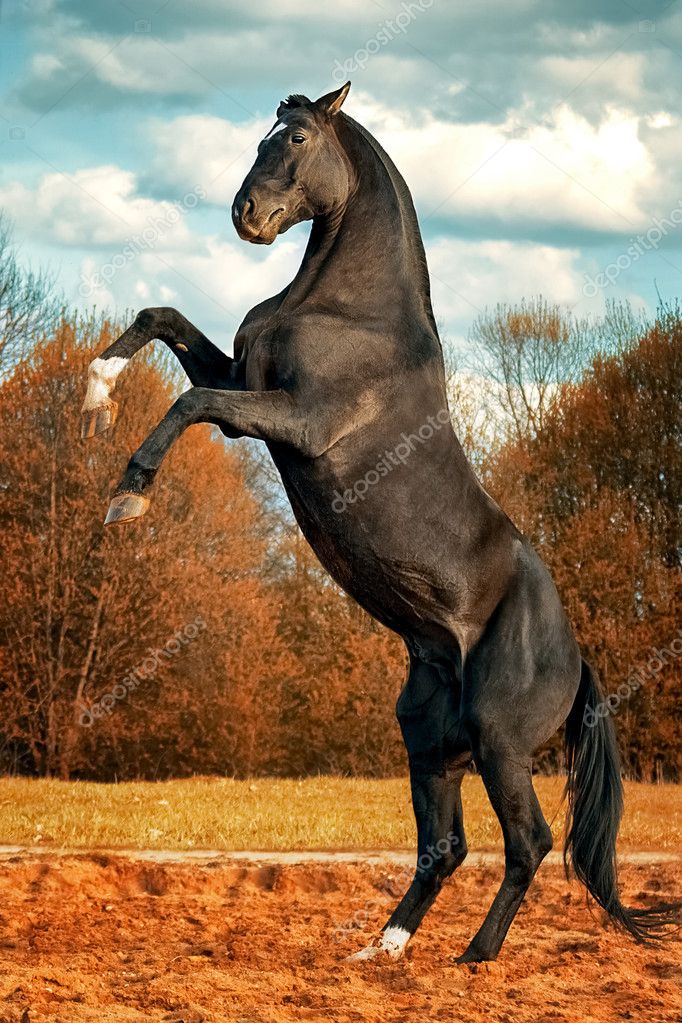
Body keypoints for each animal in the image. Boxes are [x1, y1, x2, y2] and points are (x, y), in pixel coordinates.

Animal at [81, 82, 675, 962]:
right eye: (262, 136)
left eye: (294, 137)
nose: (247, 214)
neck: (349, 310)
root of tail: (578, 662)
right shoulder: (246, 379)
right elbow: (165, 319)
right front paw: (96, 383)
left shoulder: (289, 417)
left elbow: (192, 399)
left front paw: (130, 493)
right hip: (430, 739)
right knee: (446, 845)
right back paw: (383, 949)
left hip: (499, 742)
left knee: (527, 841)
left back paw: (475, 956)